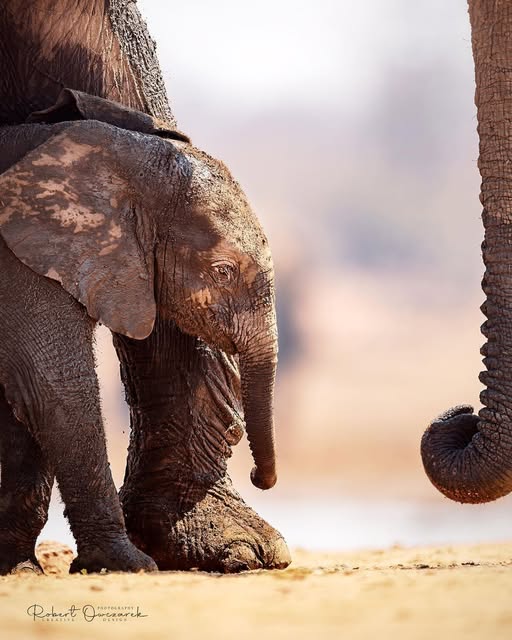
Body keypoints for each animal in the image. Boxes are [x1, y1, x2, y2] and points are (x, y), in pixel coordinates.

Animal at [0, 89, 283, 574]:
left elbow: (24, 400)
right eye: (222, 272)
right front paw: (125, 563)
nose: (258, 477)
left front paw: (17, 567)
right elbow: (52, 386)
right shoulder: (22, 262)